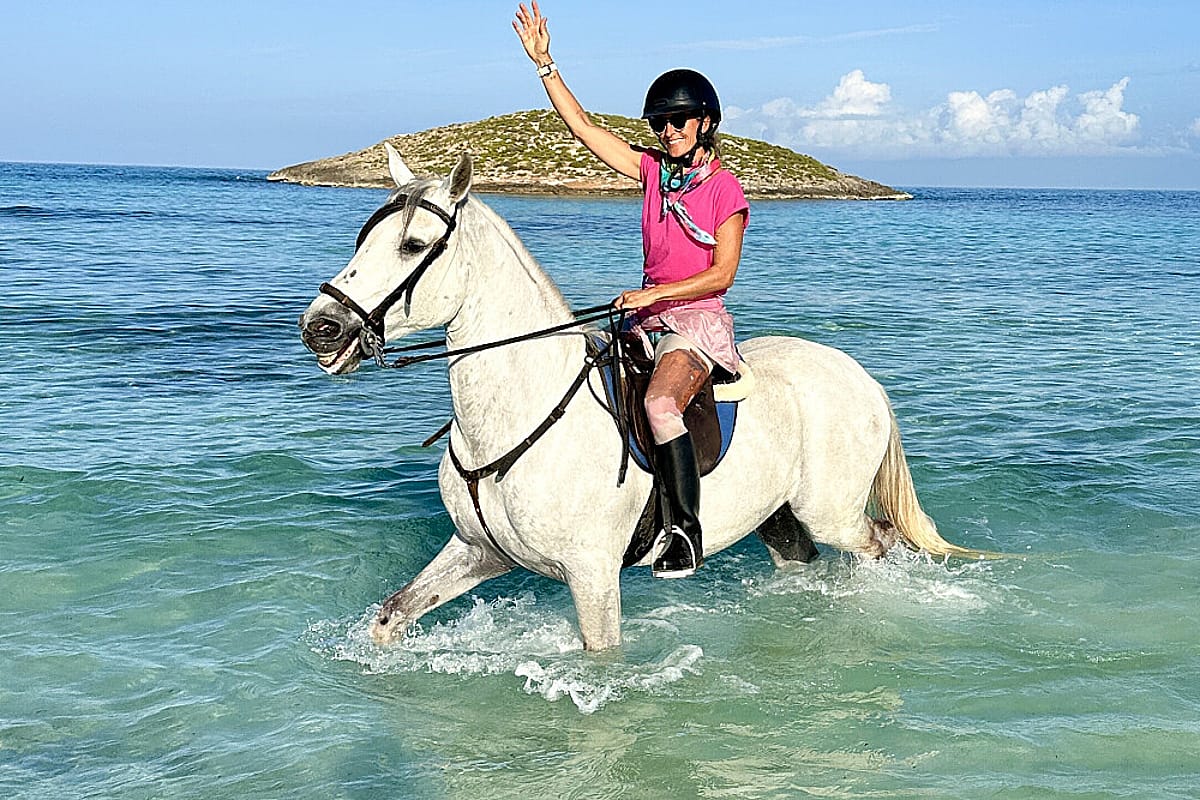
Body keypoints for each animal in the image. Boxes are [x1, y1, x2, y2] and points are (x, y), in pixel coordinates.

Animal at [299, 144, 976, 651]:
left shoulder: (592, 575)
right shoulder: (478, 551)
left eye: (413, 246)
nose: (320, 328)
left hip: (831, 511)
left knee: (879, 543)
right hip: (781, 519)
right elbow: (393, 615)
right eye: (363, 238)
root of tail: (859, 377)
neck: (523, 411)